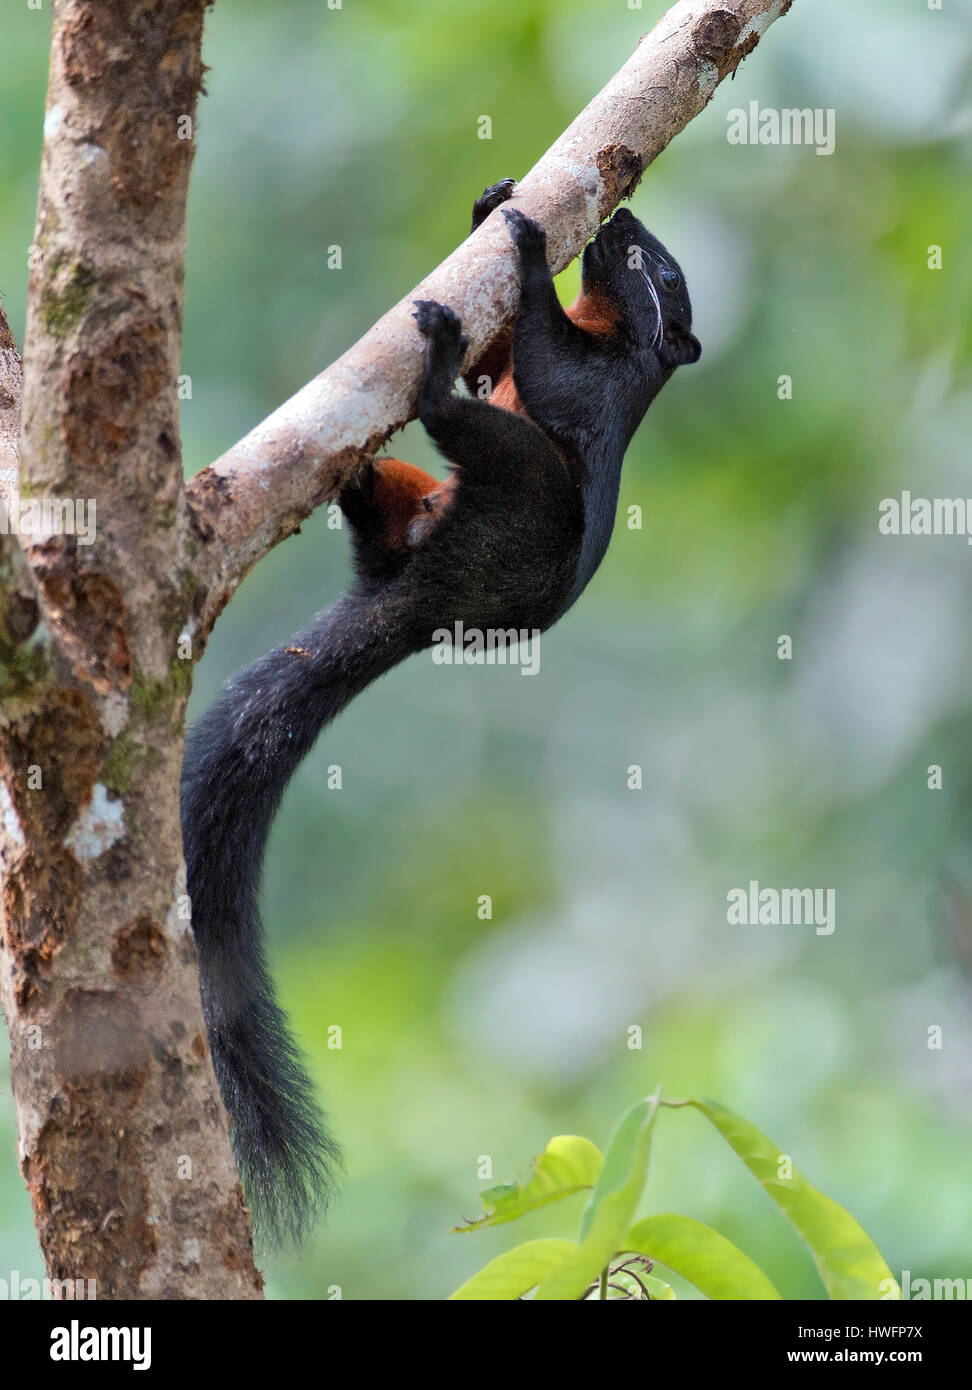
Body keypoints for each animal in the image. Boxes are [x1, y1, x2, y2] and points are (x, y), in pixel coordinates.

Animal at [181, 179, 701, 1244]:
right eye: (646, 248)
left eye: (662, 274)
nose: (622, 220)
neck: (621, 337)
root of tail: (423, 607)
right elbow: (509, 362)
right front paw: (492, 205)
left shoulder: (597, 382)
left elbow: (540, 359)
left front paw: (530, 243)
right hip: (419, 505)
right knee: (382, 503)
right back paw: (353, 468)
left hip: (518, 486)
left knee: (473, 431)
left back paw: (430, 371)